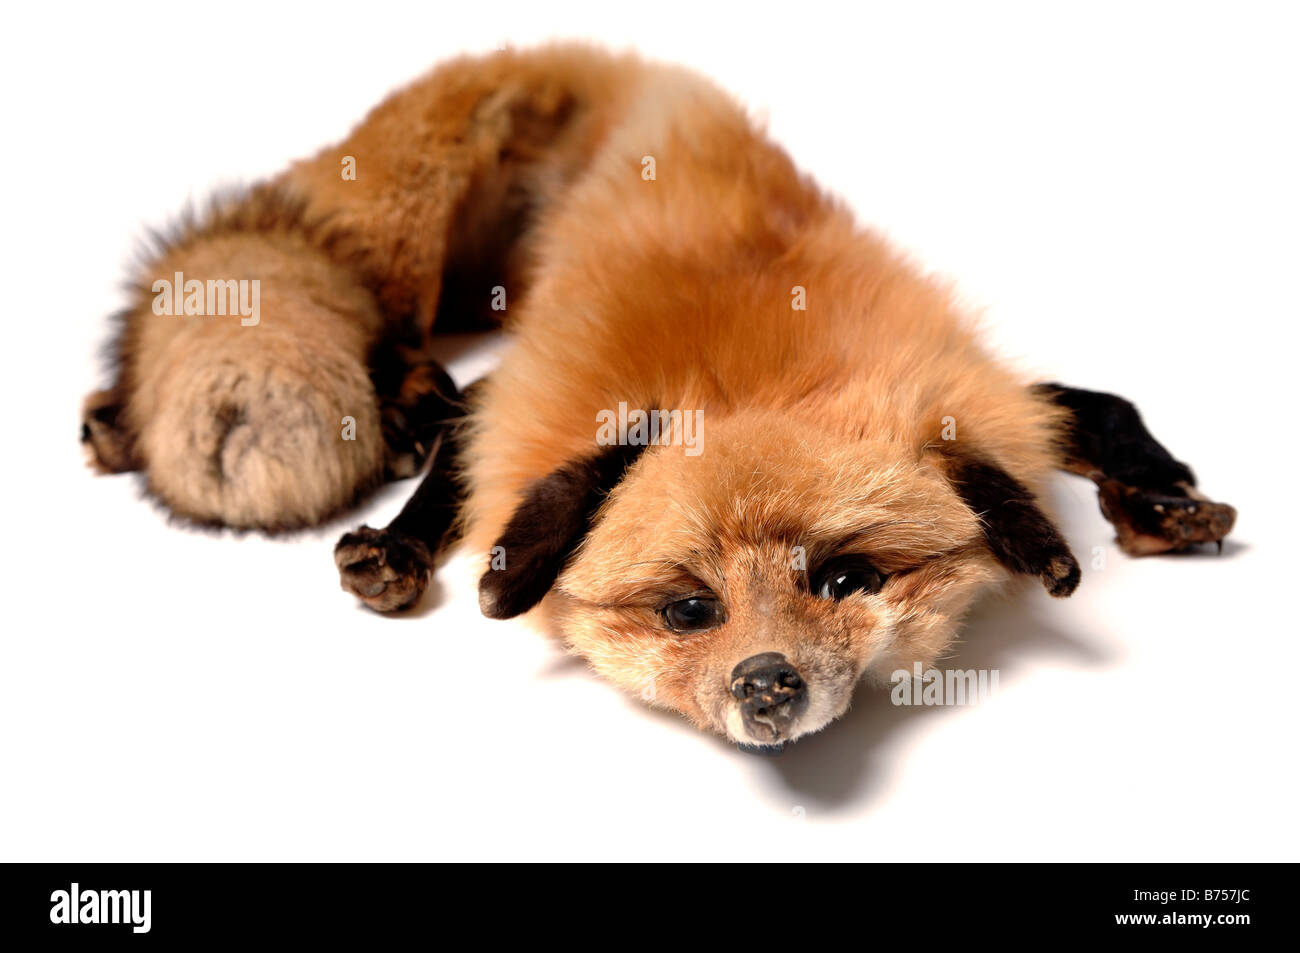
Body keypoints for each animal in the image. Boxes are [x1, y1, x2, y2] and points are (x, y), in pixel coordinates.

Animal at [82, 44, 1235, 749]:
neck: (761, 366)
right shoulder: (522, 385)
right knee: (392, 328)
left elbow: (1096, 402)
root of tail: (595, 60)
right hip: (419, 240)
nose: (767, 681)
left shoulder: (952, 382)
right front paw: (404, 542)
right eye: (689, 608)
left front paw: (1160, 496)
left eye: (848, 579)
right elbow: (469, 451)